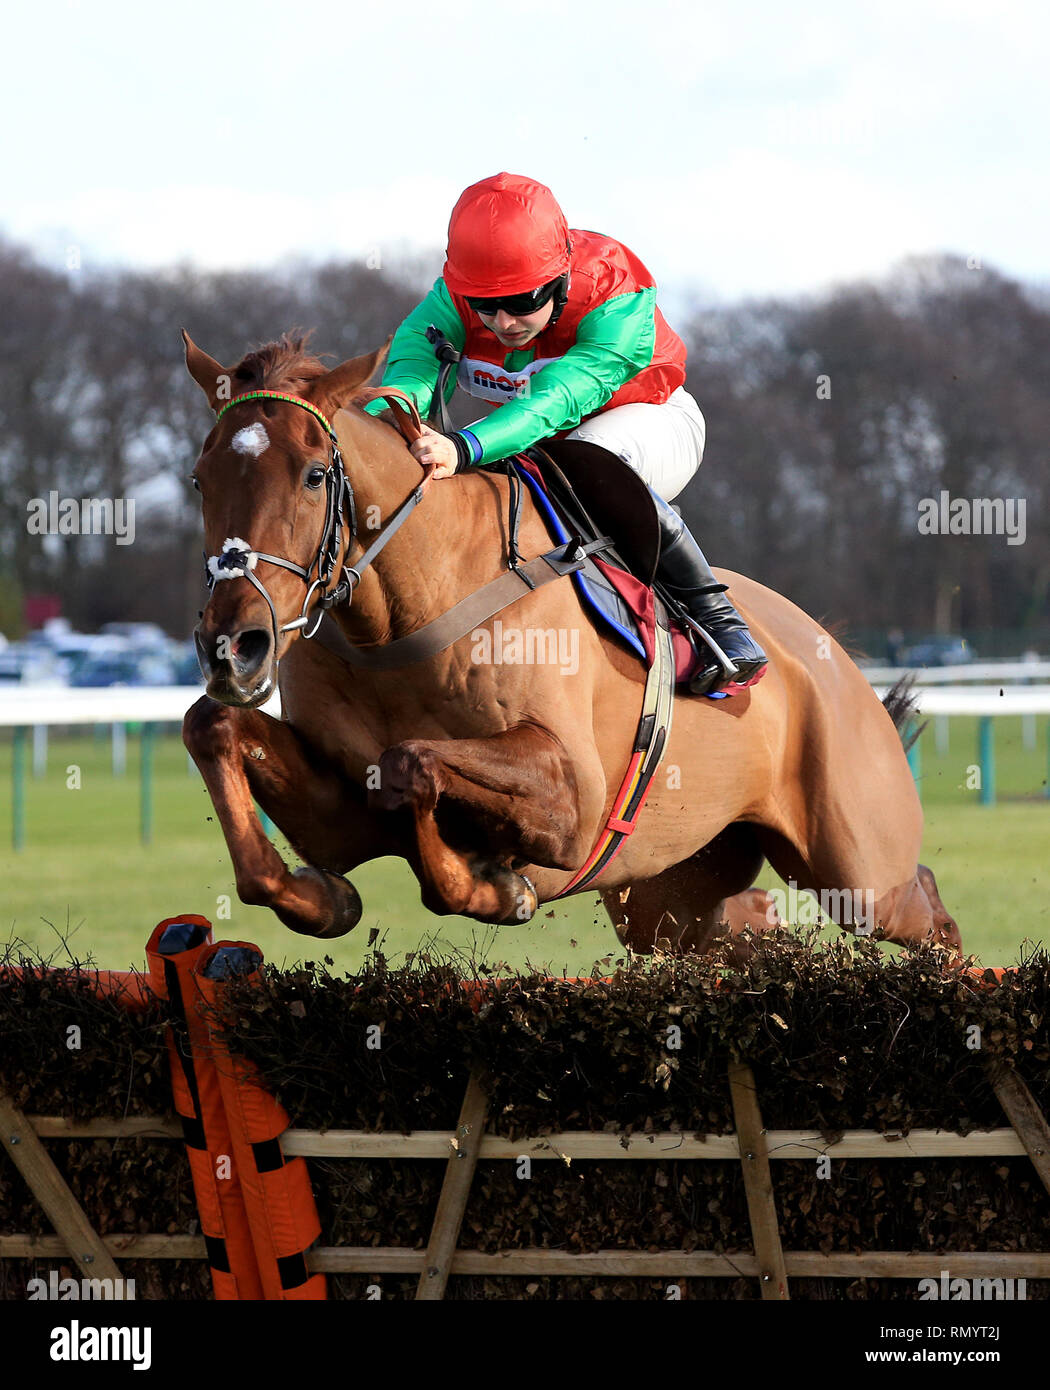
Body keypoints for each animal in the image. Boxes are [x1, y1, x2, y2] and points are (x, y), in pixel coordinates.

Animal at [180, 329, 962, 960]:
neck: (405, 620)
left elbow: (412, 764)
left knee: (929, 911)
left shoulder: (575, 801)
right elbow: (213, 726)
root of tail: (830, 655)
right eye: (199, 478)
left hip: (859, 870)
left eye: (315, 475)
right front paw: (321, 897)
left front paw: (496, 885)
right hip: (674, 897)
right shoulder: (340, 814)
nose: (235, 646)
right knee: (754, 928)